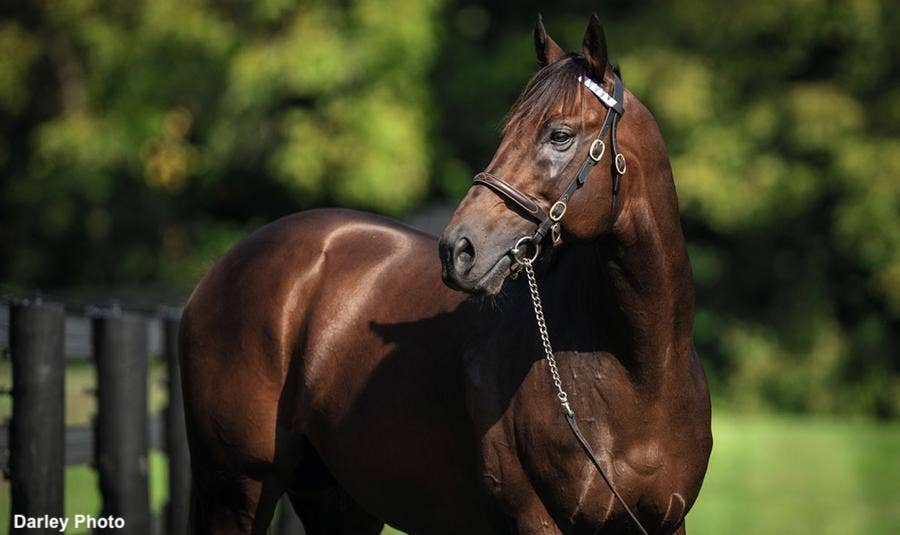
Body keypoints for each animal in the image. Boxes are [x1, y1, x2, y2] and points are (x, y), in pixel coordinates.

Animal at [179, 14, 712, 535]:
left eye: (559, 134)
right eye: (506, 130)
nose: (457, 249)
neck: (638, 374)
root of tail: (220, 269)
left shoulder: (668, 524)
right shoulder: (535, 521)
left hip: (336, 500)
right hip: (237, 491)